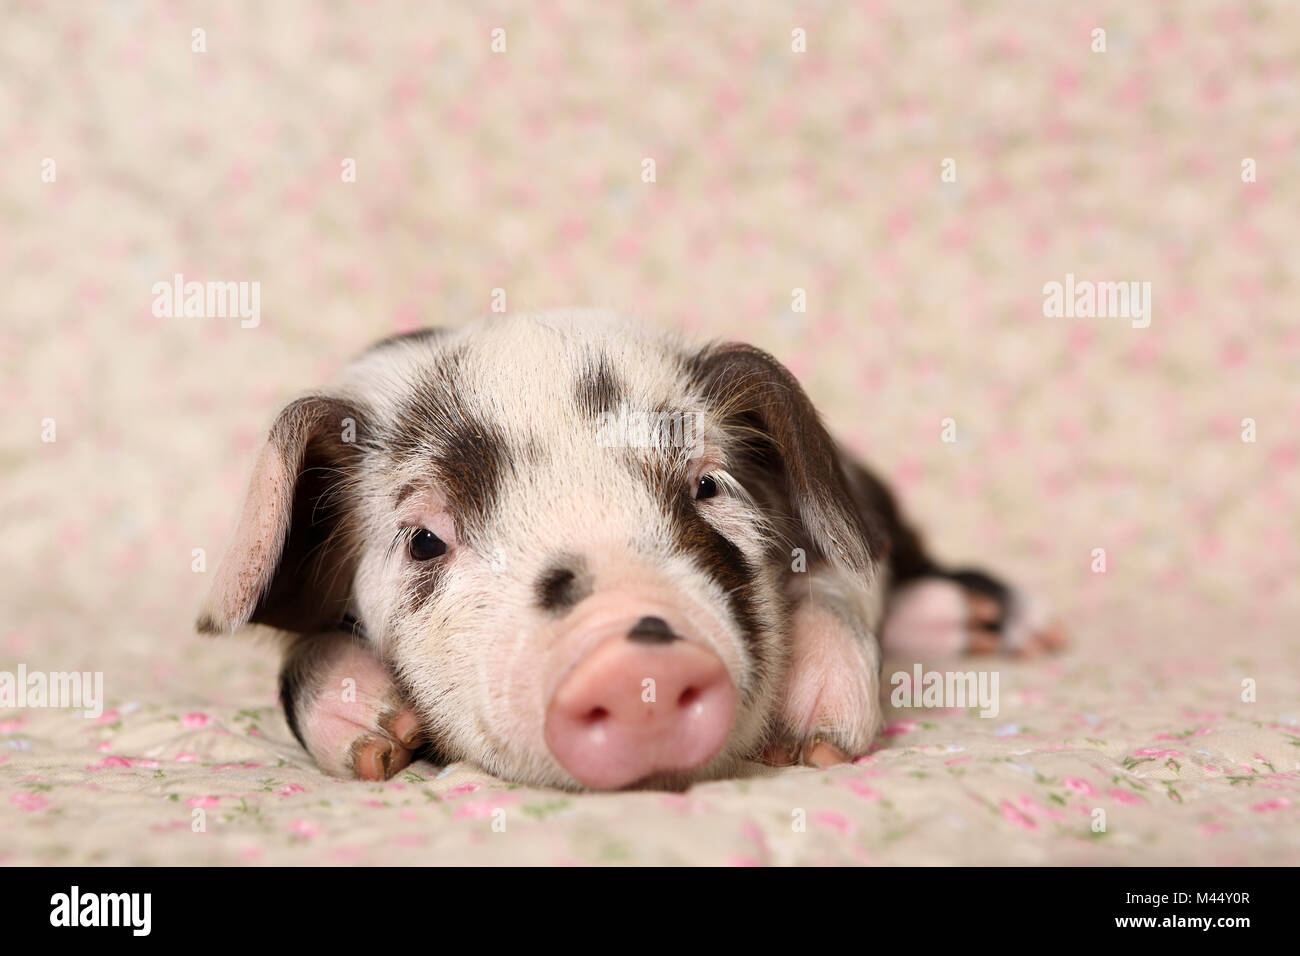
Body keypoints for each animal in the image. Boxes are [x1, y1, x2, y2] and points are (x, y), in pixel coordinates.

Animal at [197, 310, 1062, 789]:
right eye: (423, 540)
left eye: (707, 486)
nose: (634, 653)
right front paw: (376, 742)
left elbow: (840, 579)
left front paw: (813, 743)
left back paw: (1005, 626)